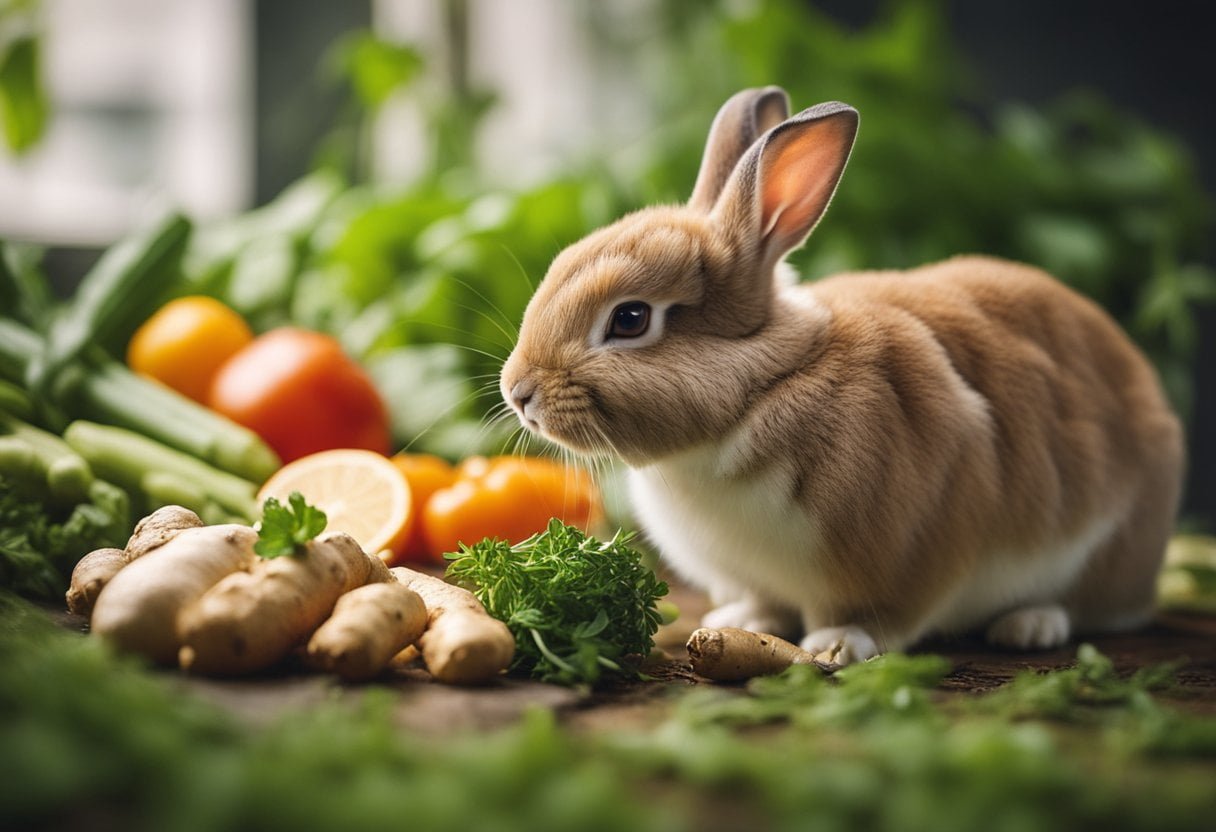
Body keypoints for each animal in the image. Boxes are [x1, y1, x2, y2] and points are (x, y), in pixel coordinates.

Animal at [499, 86, 1185, 664]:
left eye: (631, 318)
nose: (518, 392)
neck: (763, 387)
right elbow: (762, 601)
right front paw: (740, 620)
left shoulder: (916, 539)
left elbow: (879, 614)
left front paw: (837, 645)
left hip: (1102, 547)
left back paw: (1030, 625)